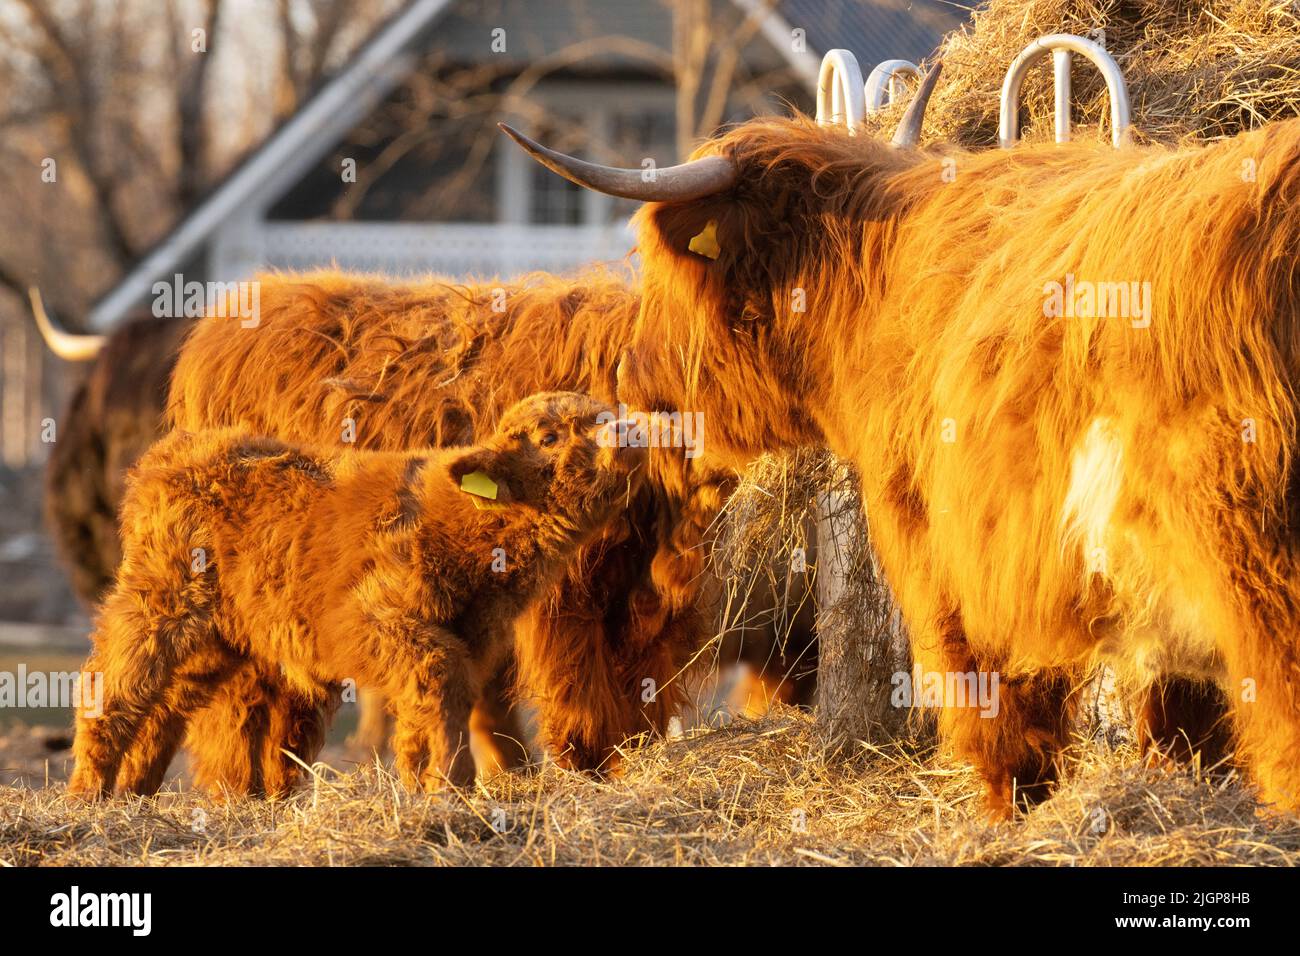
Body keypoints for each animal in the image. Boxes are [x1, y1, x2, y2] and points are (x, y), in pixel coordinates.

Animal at [503, 70, 1300, 817]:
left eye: (667, 274)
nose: (630, 376)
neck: (874, 288)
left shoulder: (945, 558)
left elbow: (1002, 724)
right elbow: (1181, 736)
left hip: (1256, 578)